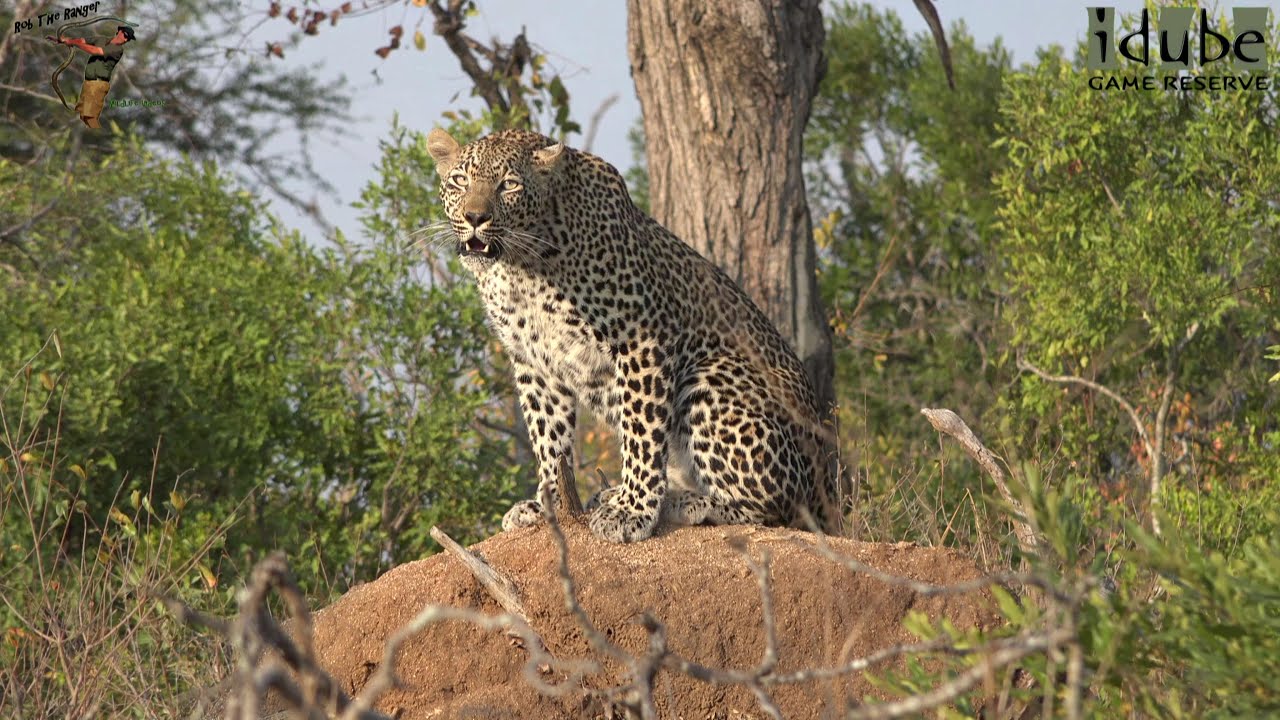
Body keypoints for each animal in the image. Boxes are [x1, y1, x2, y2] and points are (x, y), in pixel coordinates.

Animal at [426, 127, 836, 543]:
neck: (520, 267)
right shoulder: (533, 362)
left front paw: (631, 511)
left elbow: (641, 431)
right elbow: (548, 438)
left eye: (508, 185)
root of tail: (829, 481)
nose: (475, 217)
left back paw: (687, 503)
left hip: (710, 379)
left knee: (777, 509)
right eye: (459, 181)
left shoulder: (641, 338)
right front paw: (548, 506)